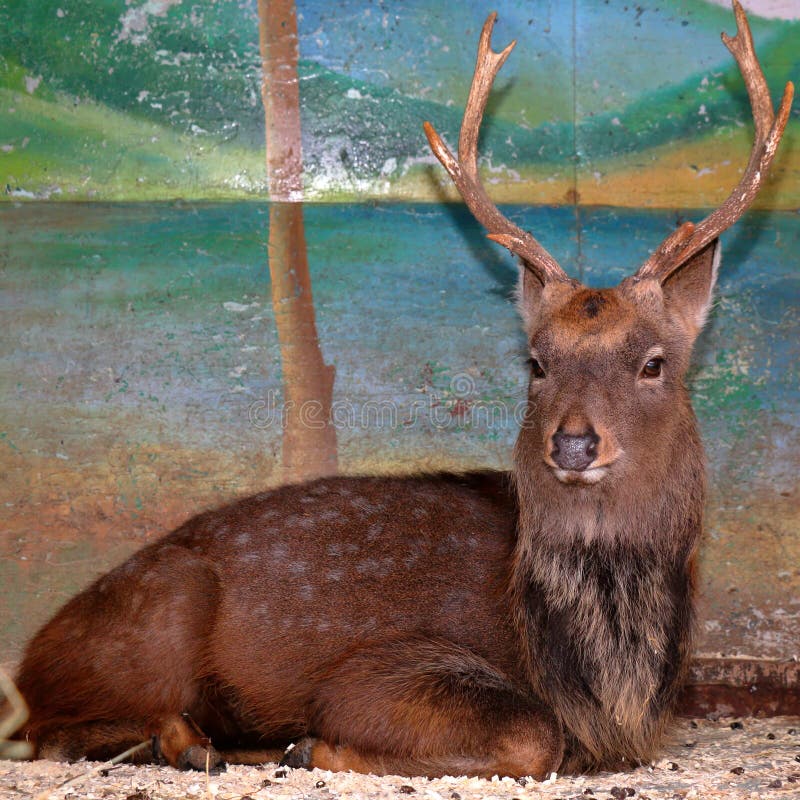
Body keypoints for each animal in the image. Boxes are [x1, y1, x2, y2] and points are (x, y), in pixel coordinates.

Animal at [10, 1, 793, 780]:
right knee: (52, 730)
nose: (573, 443)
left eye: (654, 363)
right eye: (537, 362)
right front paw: (312, 743)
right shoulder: (375, 670)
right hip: (165, 610)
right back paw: (190, 742)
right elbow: (530, 735)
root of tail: (27, 656)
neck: (600, 692)